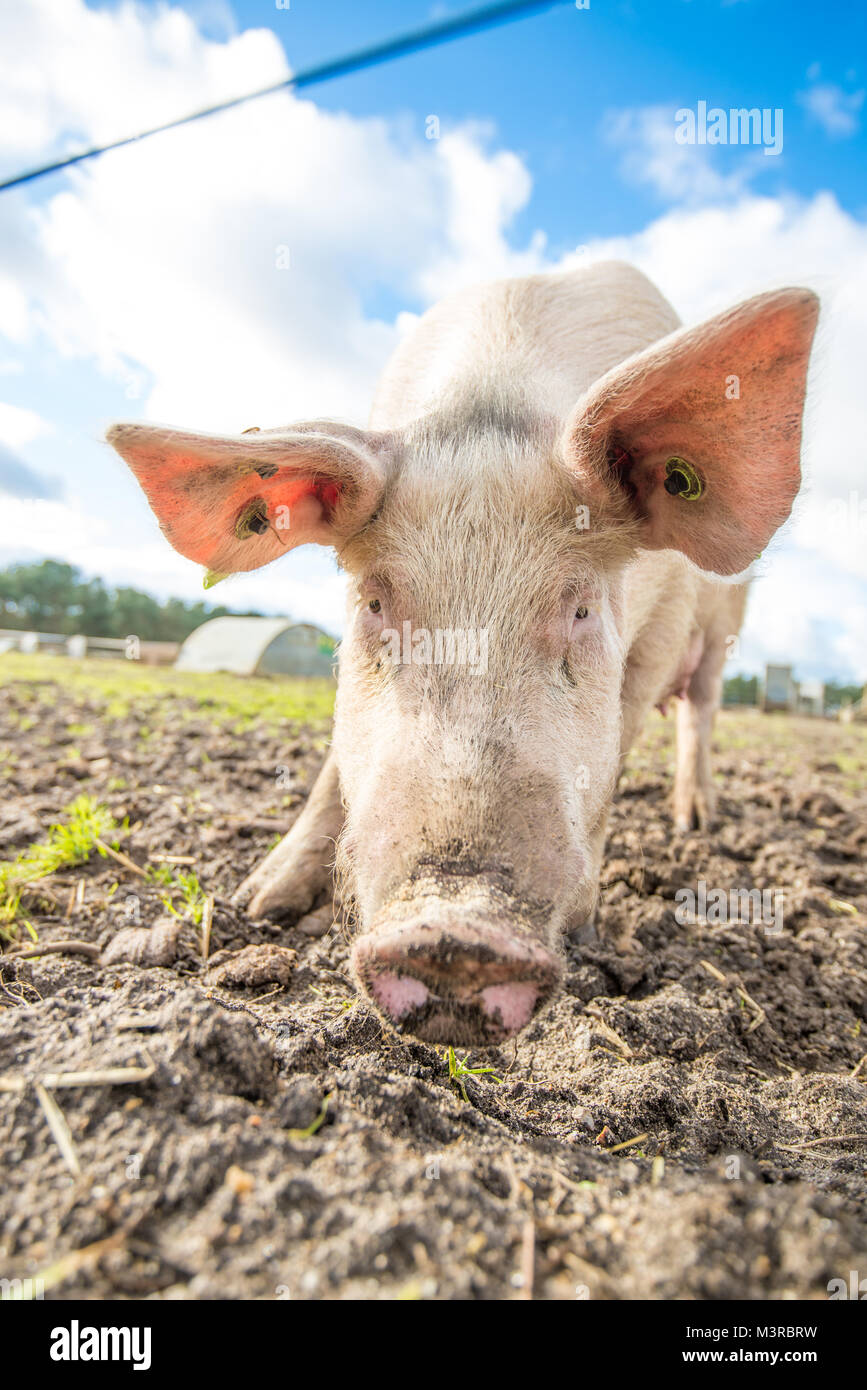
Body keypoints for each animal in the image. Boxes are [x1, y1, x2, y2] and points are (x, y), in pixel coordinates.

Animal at [107, 261, 818, 1046]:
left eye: (580, 608)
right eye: (375, 604)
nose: (456, 929)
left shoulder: (659, 631)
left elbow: (616, 753)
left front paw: (590, 932)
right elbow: (334, 763)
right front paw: (258, 902)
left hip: (721, 633)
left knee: (701, 710)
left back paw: (697, 821)